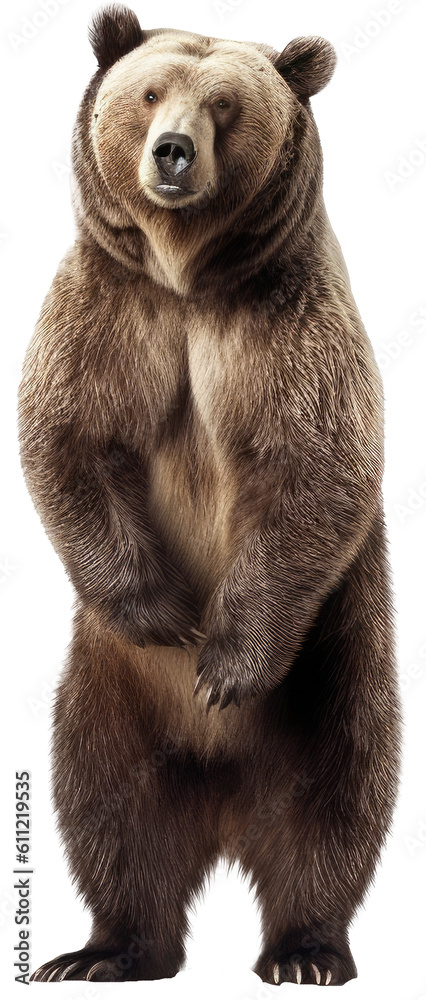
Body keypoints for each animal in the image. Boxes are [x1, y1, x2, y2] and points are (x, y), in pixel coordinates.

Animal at [18, 3, 401, 987]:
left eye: (224, 103)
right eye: (150, 91)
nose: (172, 151)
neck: (189, 280)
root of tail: (225, 808)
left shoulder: (288, 326)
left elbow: (317, 466)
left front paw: (222, 664)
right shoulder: (108, 312)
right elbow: (65, 438)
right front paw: (166, 617)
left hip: (337, 656)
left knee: (339, 791)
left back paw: (307, 951)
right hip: (103, 686)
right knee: (108, 806)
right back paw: (104, 951)